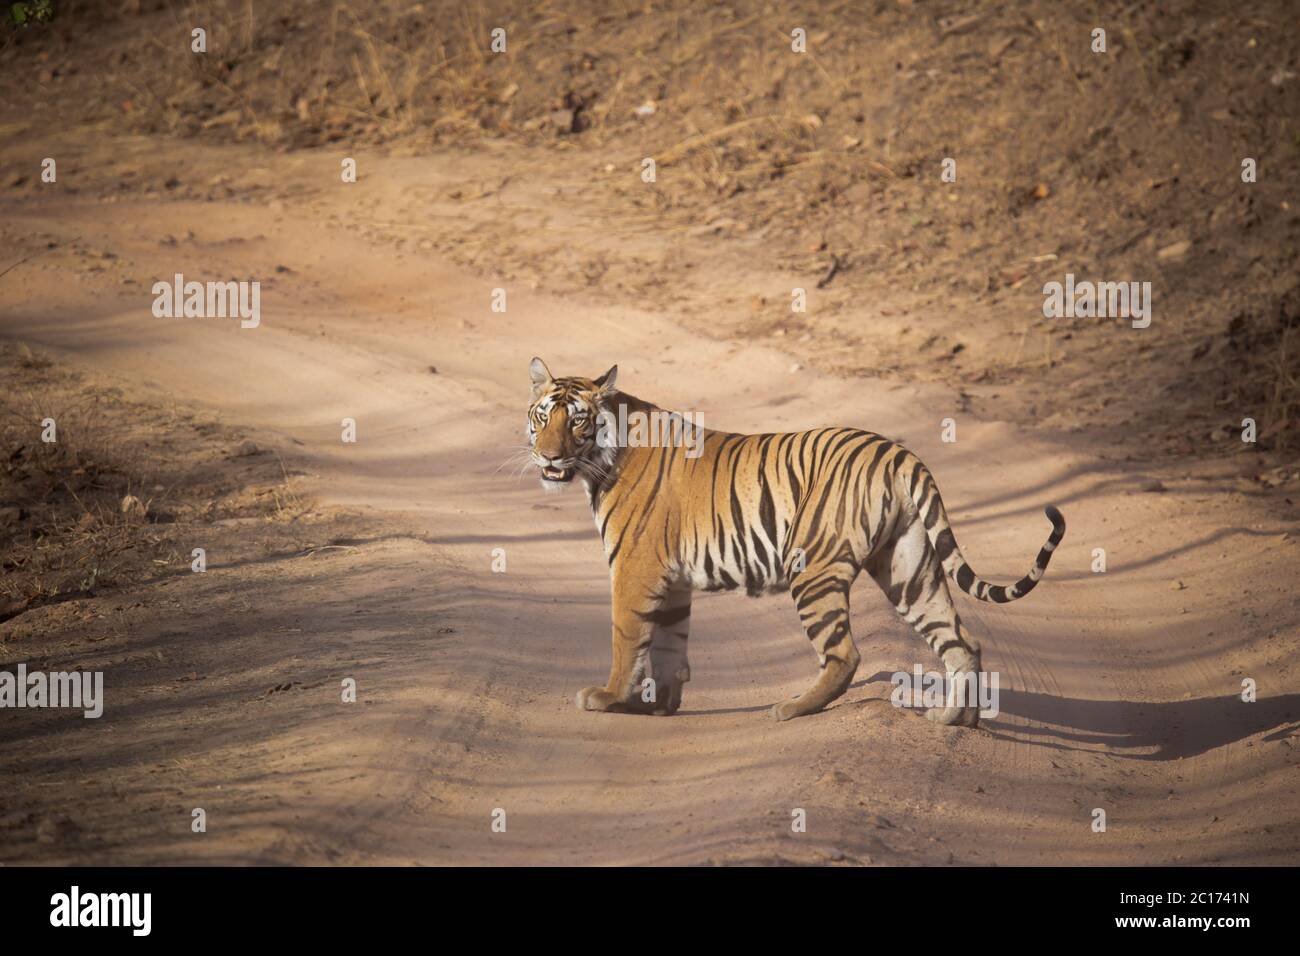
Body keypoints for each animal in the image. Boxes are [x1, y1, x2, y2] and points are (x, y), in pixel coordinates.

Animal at [525, 357, 1065, 726]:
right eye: (543, 416)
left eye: (577, 419)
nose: (547, 456)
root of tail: (896, 452)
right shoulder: (672, 580)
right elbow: (668, 645)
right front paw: (655, 704)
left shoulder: (635, 568)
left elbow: (628, 637)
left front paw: (610, 697)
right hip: (909, 566)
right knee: (962, 641)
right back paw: (957, 719)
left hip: (813, 567)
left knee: (845, 655)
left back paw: (793, 707)